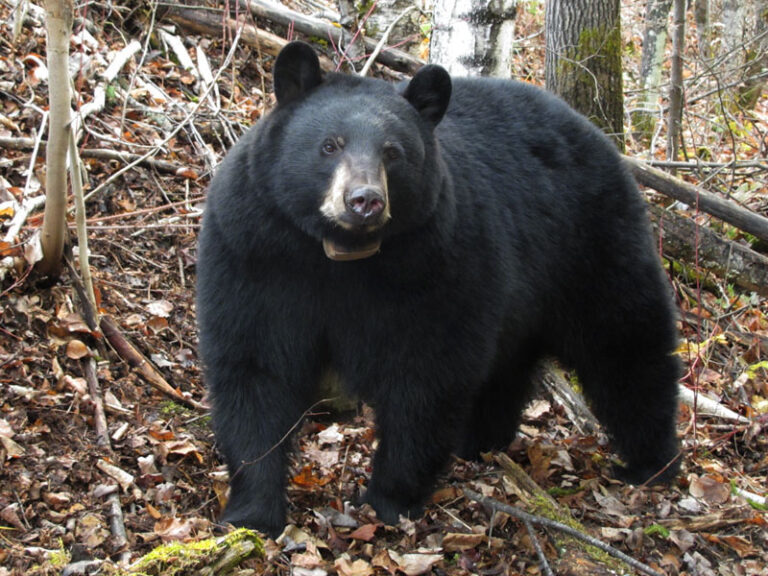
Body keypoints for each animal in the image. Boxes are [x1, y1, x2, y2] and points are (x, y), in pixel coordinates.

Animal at [196, 41, 681, 537]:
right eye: (329, 145)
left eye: (392, 152)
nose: (364, 200)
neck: (340, 255)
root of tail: (596, 134)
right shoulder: (257, 254)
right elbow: (256, 367)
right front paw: (252, 512)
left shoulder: (437, 263)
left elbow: (424, 375)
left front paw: (389, 499)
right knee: (512, 364)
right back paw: (481, 440)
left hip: (590, 243)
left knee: (624, 343)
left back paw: (649, 463)